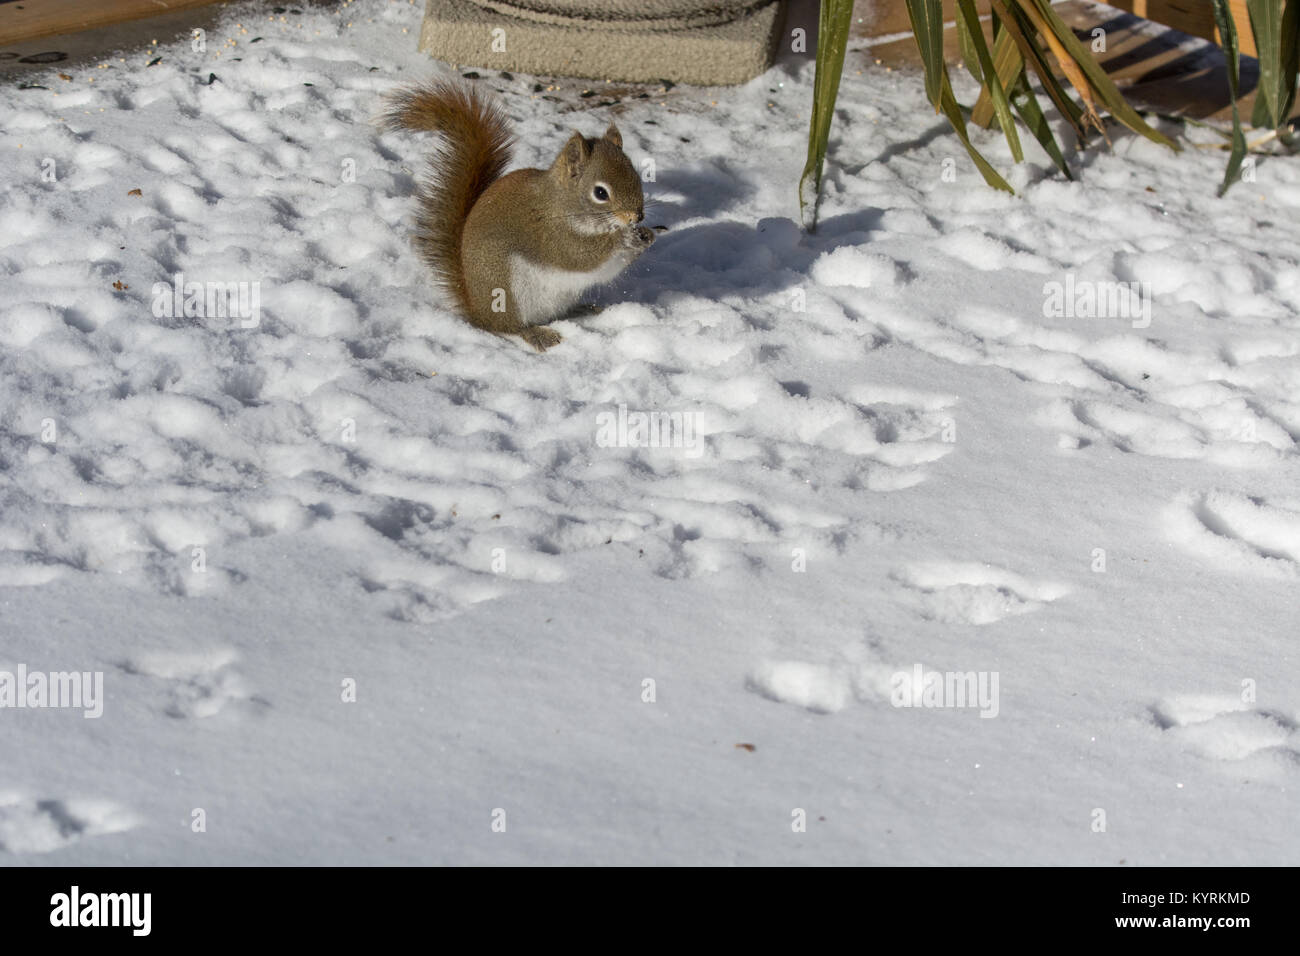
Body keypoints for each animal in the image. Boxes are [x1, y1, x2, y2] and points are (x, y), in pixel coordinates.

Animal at [382, 80, 655, 352]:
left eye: (637, 177)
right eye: (600, 192)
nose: (637, 217)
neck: (560, 204)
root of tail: (477, 312)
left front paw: (648, 235)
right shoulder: (548, 234)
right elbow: (581, 257)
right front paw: (625, 239)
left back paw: (582, 309)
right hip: (505, 291)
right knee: (509, 327)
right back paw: (536, 333)